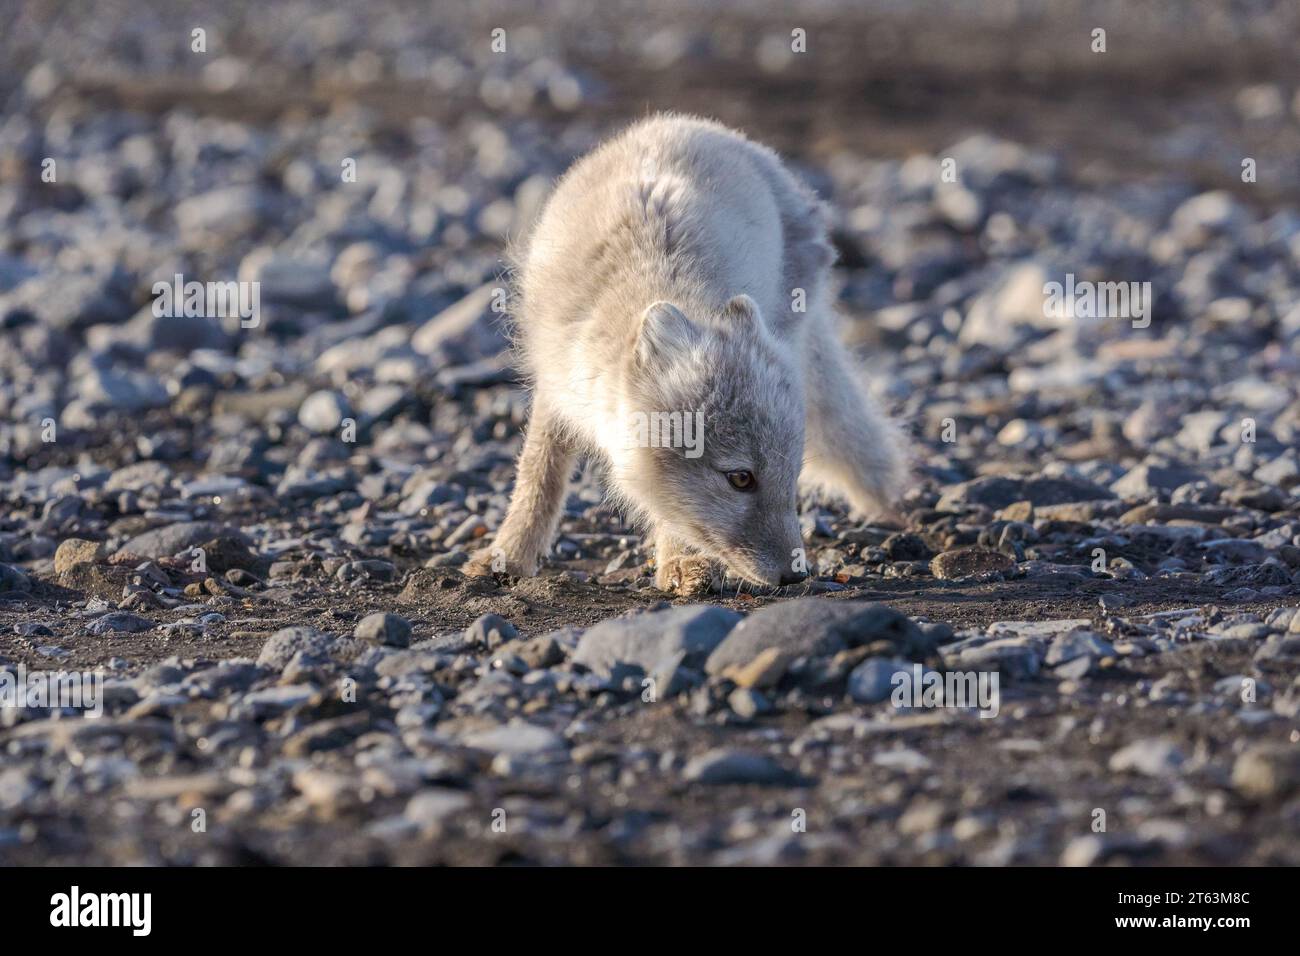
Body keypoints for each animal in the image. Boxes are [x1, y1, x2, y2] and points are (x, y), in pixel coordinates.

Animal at [466, 114, 908, 594]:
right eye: (741, 478)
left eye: (792, 476)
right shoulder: (557, 383)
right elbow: (538, 475)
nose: (795, 575)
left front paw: (680, 561)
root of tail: (692, 123)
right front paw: (507, 554)